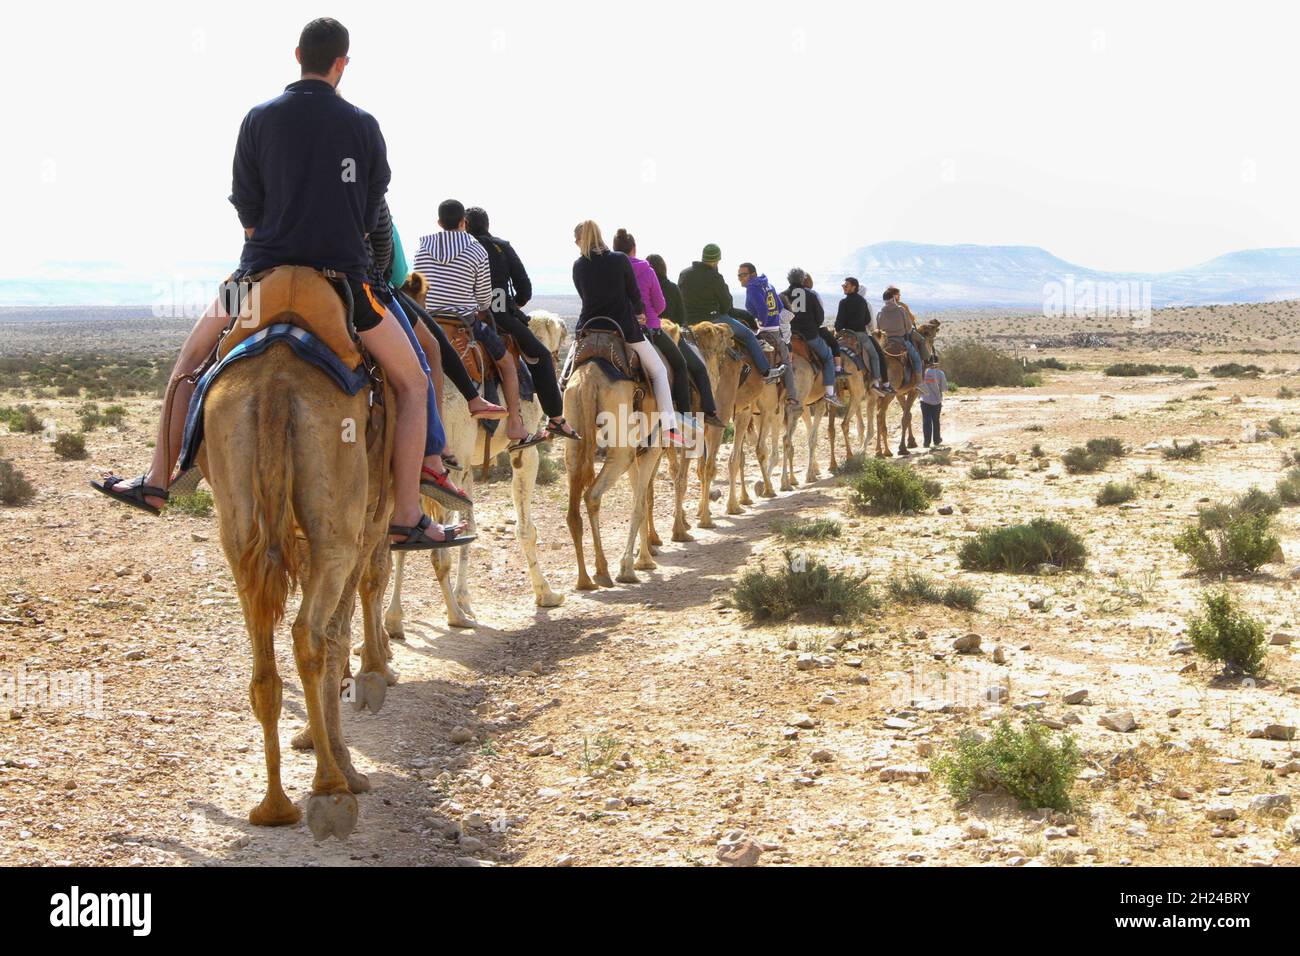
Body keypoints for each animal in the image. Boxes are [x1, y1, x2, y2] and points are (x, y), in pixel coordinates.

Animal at [198, 302, 395, 841]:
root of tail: (274, 386)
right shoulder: (369, 522)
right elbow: (341, 629)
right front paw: (345, 762)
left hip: (237, 524)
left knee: (264, 651)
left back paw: (274, 806)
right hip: (336, 532)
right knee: (309, 633)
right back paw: (330, 790)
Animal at [385, 309, 567, 633]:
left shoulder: (467, 467)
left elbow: (469, 527)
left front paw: (465, 598)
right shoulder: (524, 451)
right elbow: (525, 529)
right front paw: (546, 593)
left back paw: (394, 621)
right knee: (437, 550)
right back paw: (455, 616)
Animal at [564, 334, 664, 589]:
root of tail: (589, 376)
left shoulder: (640, 451)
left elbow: (640, 499)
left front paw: (644, 559)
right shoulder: (651, 449)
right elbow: (639, 504)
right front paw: (631, 566)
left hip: (573, 423)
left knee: (574, 507)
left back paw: (587, 578)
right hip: (622, 446)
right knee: (592, 494)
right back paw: (604, 571)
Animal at [874, 320, 941, 457]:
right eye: (932, 332)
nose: (934, 358)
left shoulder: (900, 393)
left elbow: (908, 414)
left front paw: (911, 442)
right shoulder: (913, 390)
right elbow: (905, 417)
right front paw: (902, 448)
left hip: (879, 393)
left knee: (879, 417)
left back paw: (880, 451)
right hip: (888, 393)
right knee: (880, 414)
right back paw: (884, 451)